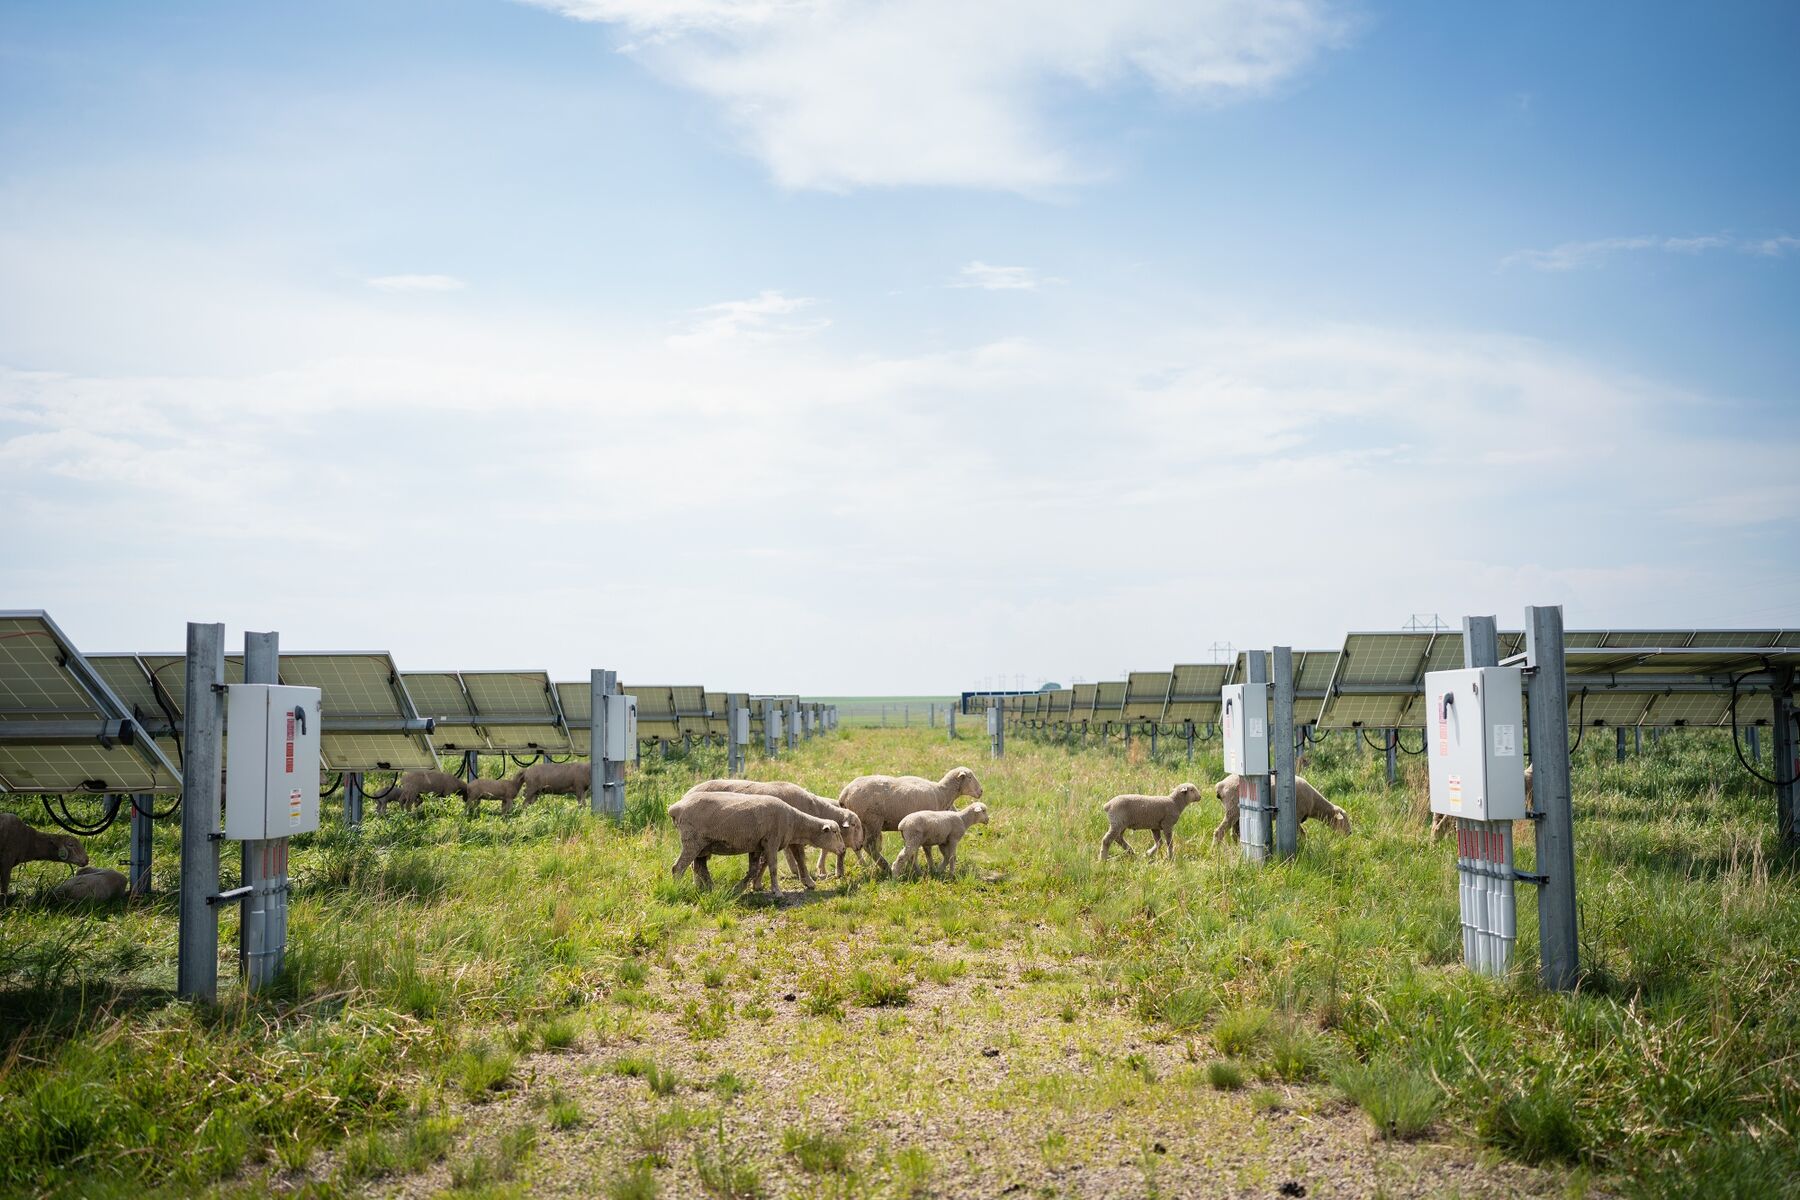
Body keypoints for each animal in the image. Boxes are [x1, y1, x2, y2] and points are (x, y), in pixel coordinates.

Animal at [667, 790, 847, 900]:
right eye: (835, 832)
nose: (843, 849)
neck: (794, 822)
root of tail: (675, 808)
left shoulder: (756, 846)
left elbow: (754, 869)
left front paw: (739, 888)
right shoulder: (771, 841)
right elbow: (773, 867)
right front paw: (777, 892)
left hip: (703, 845)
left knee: (700, 867)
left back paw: (711, 889)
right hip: (692, 842)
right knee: (678, 868)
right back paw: (677, 890)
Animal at [686, 779, 865, 887]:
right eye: (855, 826)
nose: (860, 845)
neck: (814, 809)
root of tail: (686, 794)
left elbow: (767, 861)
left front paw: (757, 884)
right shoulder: (793, 837)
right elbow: (800, 859)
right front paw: (808, 881)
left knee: (697, 863)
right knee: (695, 864)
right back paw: (699, 885)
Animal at [835, 767, 983, 876]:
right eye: (970, 777)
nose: (981, 791)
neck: (942, 793)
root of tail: (844, 794)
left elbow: (916, 850)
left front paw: (915, 868)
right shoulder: (926, 825)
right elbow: (925, 849)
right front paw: (924, 869)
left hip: (859, 824)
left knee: (857, 845)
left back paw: (865, 866)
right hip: (872, 821)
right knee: (869, 846)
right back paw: (885, 867)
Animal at [1211, 774, 1350, 845]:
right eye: (1344, 820)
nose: (1350, 833)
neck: (1314, 803)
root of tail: (1220, 785)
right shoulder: (1296, 816)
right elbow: (1302, 834)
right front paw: (1304, 846)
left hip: (1236, 811)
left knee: (1234, 833)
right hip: (1232, 808)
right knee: (1219, 832)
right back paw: (1216, 850)